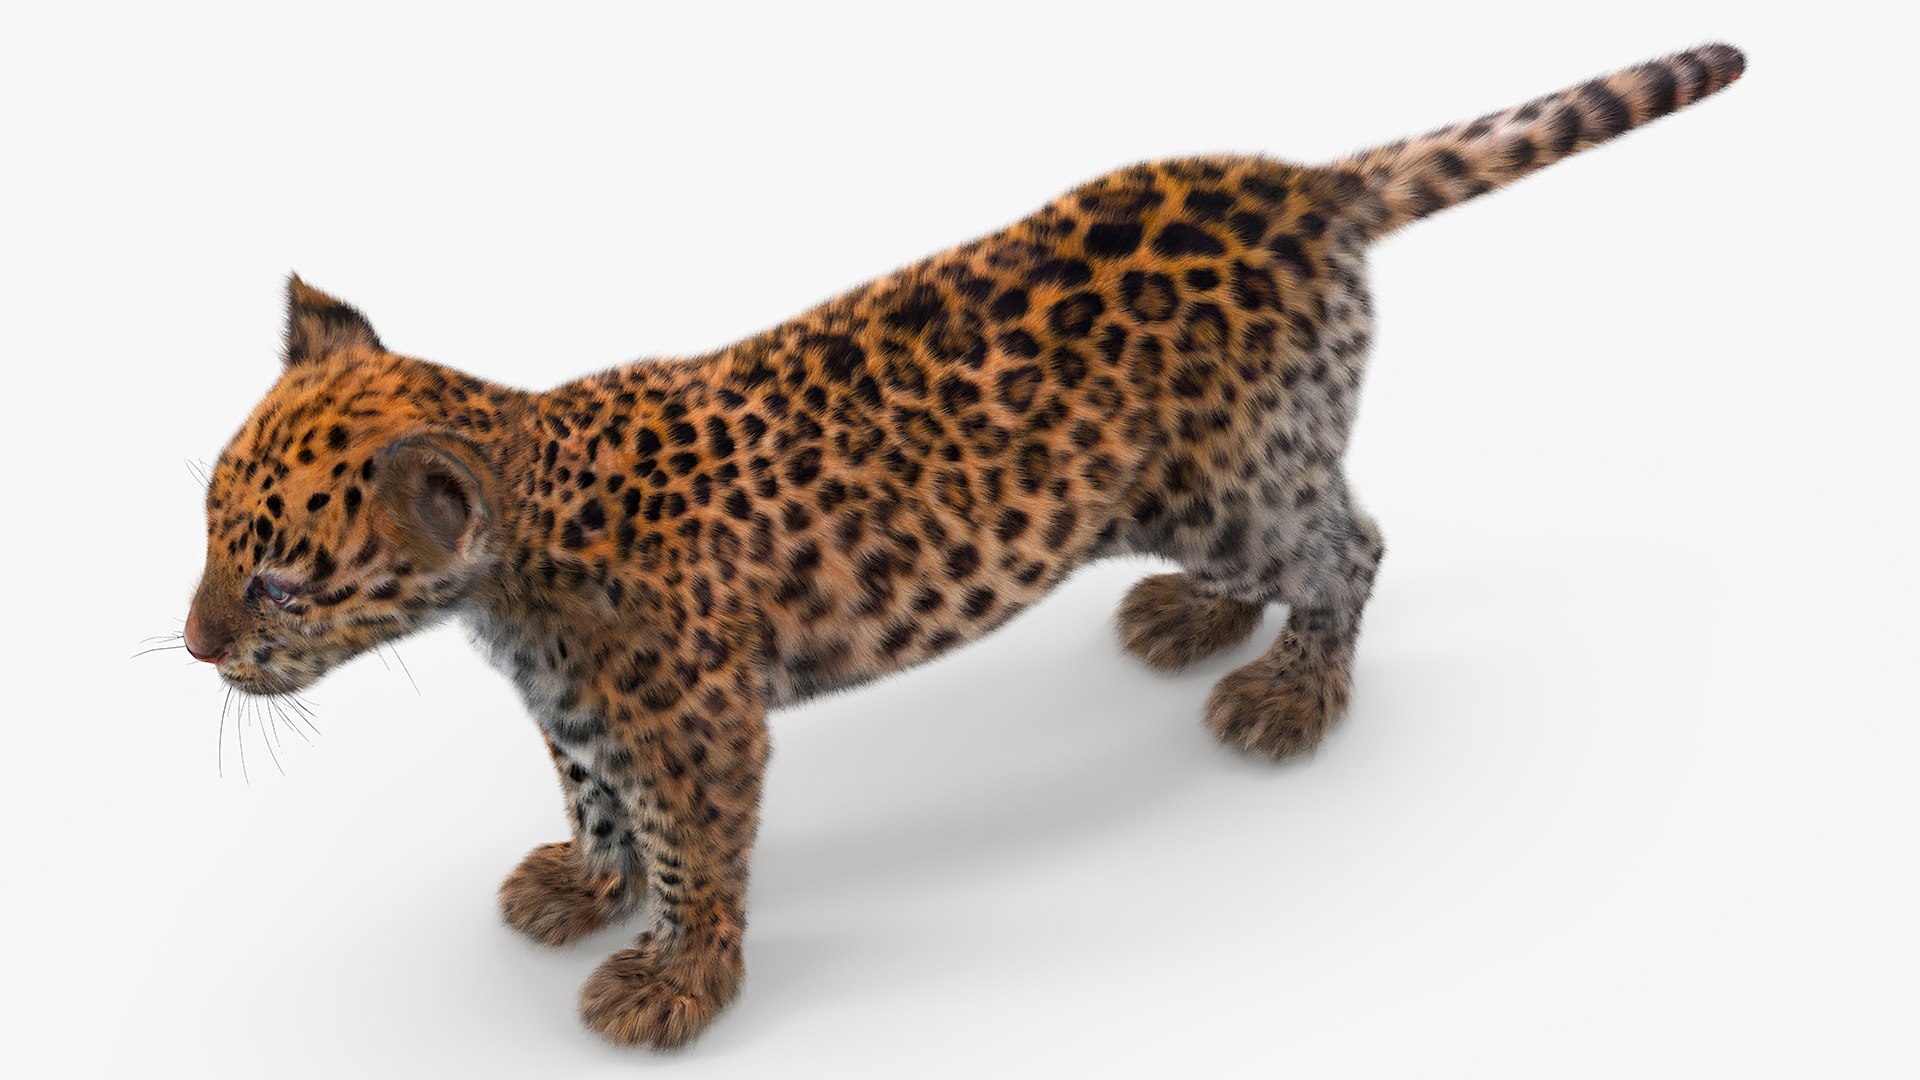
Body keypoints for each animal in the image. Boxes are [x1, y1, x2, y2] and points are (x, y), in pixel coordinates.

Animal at [180, 43, 1745, 1048]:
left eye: (277, 580)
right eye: (204, 534)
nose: (196, 649)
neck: (514, 561)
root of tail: (1305, 183)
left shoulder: (699, 731)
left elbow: (690, 850)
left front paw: (674, 980)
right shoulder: (581, 714)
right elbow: (592, 799)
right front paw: (581, 883)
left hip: (1228, 473)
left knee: (1346, 545)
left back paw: (1290, 693)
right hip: (1186, 480)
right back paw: (1194, 619)